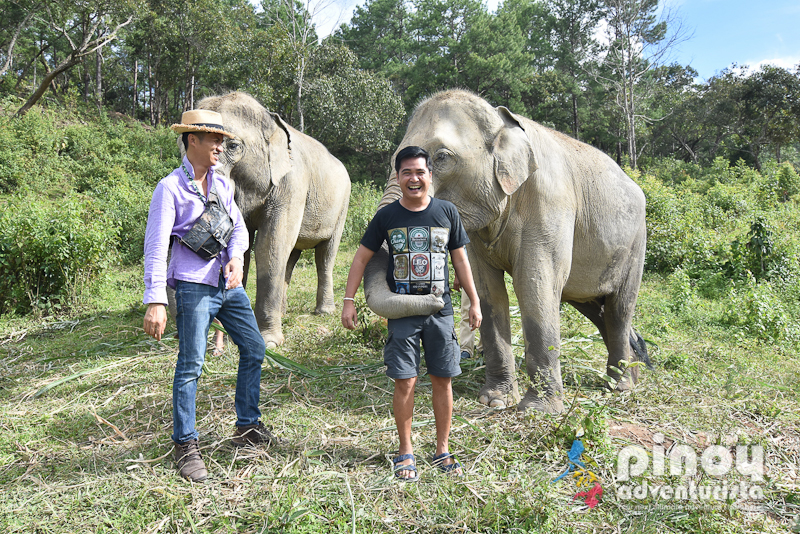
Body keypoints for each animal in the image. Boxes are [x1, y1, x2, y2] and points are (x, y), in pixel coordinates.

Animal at [186, 91, 351, 348]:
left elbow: (269, 245)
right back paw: (283, 312)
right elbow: (243, 246)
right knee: (291, 256)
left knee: (325, 255)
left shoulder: (291, 185)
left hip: (342, 205)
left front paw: (270, 342)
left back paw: (323, 312)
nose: (216, 345)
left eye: (233, 146)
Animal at [364, 89, 650, 413]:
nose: (435, 294)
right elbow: (486, 290)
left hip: (636, 244)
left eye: (442, 157)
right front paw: (496, 400)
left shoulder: (550, 204)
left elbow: (534, 286)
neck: (502, 120)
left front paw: (538, 410)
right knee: (595, 309)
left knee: (619, 308)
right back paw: (632, 371)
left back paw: (621, 386)